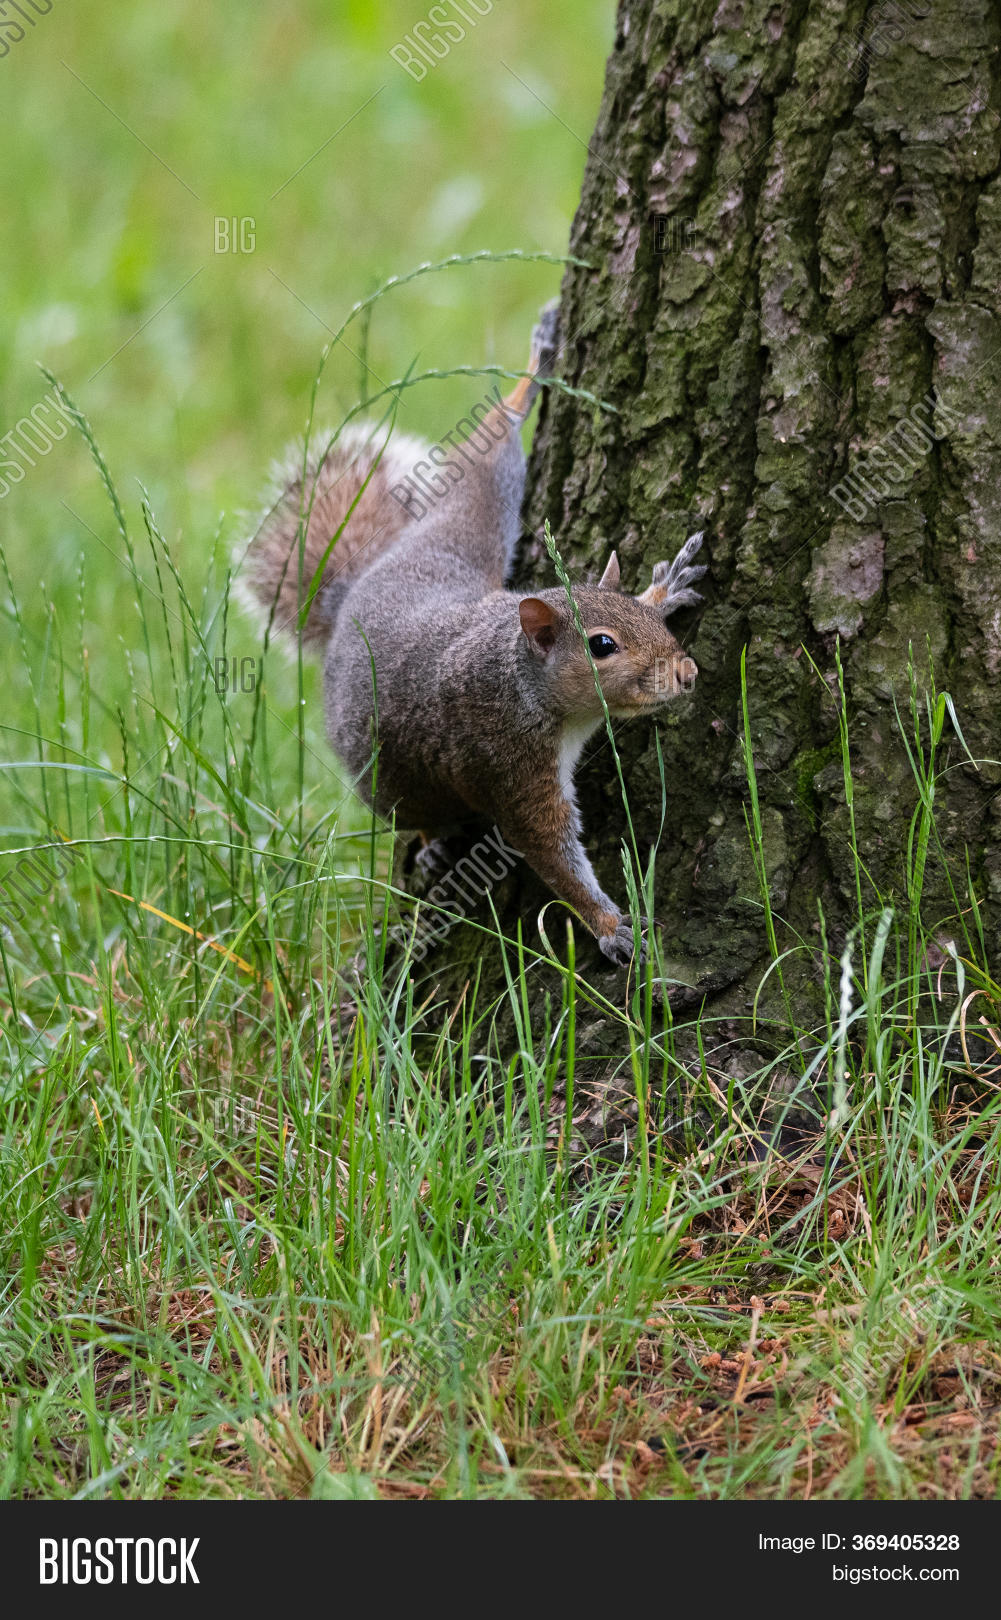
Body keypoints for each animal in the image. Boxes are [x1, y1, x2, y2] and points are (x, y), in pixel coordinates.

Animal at [241, 304, 706, 964]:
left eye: (629, 612)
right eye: (602, 646)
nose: (686, 672)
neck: (521, 677)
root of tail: (351, 595)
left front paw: (664, 589)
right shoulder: (509, 763)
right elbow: (548, 849)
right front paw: (610, 926)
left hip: (460, 538)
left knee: (485, 466)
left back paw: (534, 368)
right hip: (390, 773)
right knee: (413, 812)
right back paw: (435, 841)